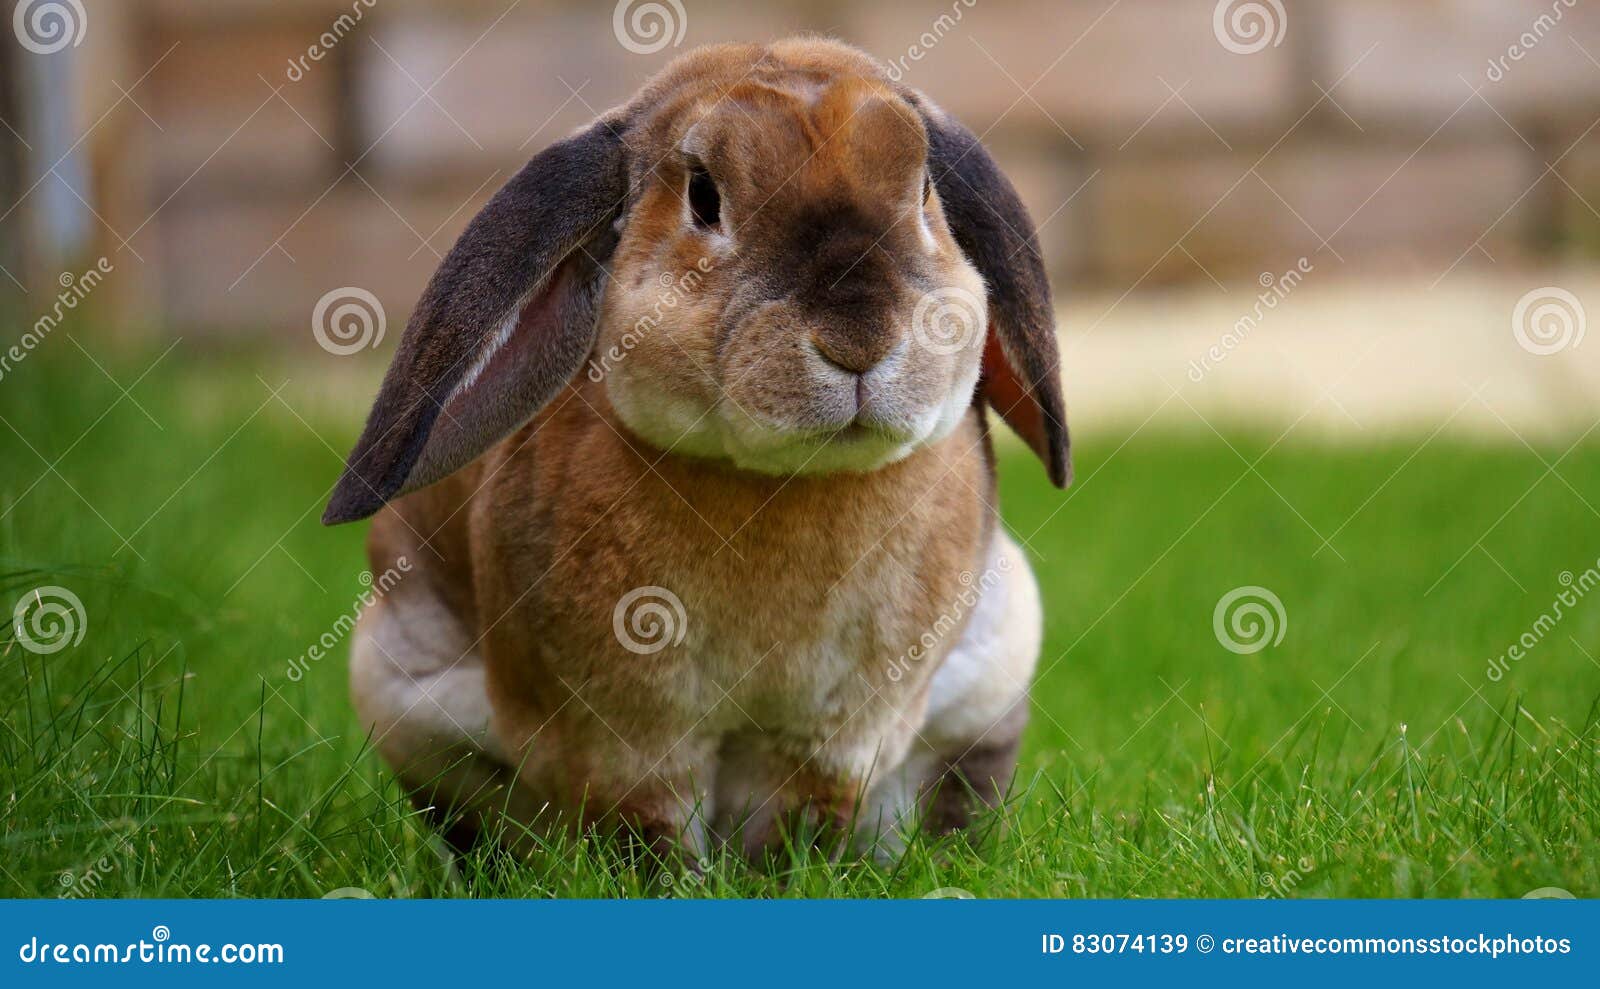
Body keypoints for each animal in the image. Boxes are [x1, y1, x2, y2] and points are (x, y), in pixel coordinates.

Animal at [324, 37, 1069, 862]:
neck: (781, 482)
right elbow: (647, 829)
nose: (858, 340)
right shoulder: (625, 740)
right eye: (704, 197)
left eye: (925, 191)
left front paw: (786, 875)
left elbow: (802, 818)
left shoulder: (833, 737)